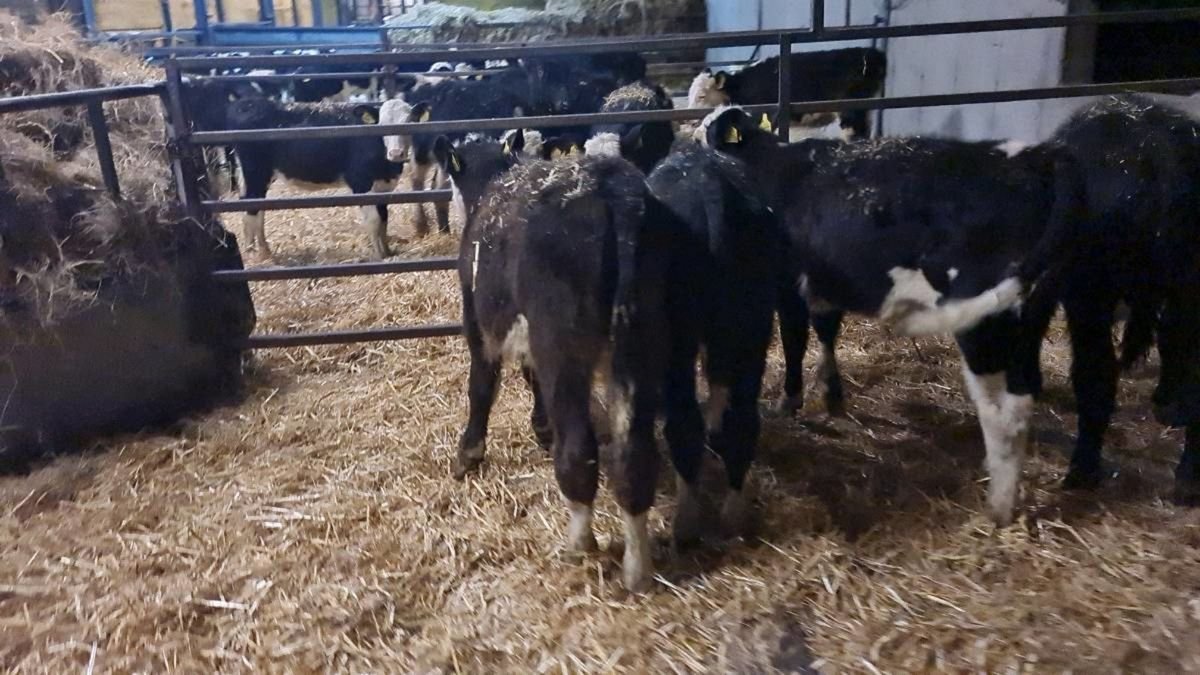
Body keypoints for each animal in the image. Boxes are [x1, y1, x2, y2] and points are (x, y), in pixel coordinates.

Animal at [217, 96, 404, 260]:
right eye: (382, 123)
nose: (396, 153)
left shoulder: (384, 187)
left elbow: (384, 218)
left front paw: (388, 251)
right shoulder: (360, 181)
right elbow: (374, 220)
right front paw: (379, 256)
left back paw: (260, 249)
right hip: (256, 171)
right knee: (252, 208)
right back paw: (258, 253)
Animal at [434, 136, 674, 591]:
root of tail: (613, 192)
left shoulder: (478, 323)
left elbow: (481, 387)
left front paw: (468, 453)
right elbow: (533, 380)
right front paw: (542, 427)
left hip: (564, 347)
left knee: (579, 453)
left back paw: (579, 545)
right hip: (641, 347)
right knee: (634, 458)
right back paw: (639, 569)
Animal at [701, 106, 1084, 527]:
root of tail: (1039, 158)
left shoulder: (787, 283)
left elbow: (795, 339)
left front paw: (791, 399)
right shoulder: (824, 282)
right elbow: (826, 332)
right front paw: (832, 396)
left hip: (986, 323)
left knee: (1004, 413)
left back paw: (997, 507)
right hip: (1029, 319)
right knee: (1024, 395)